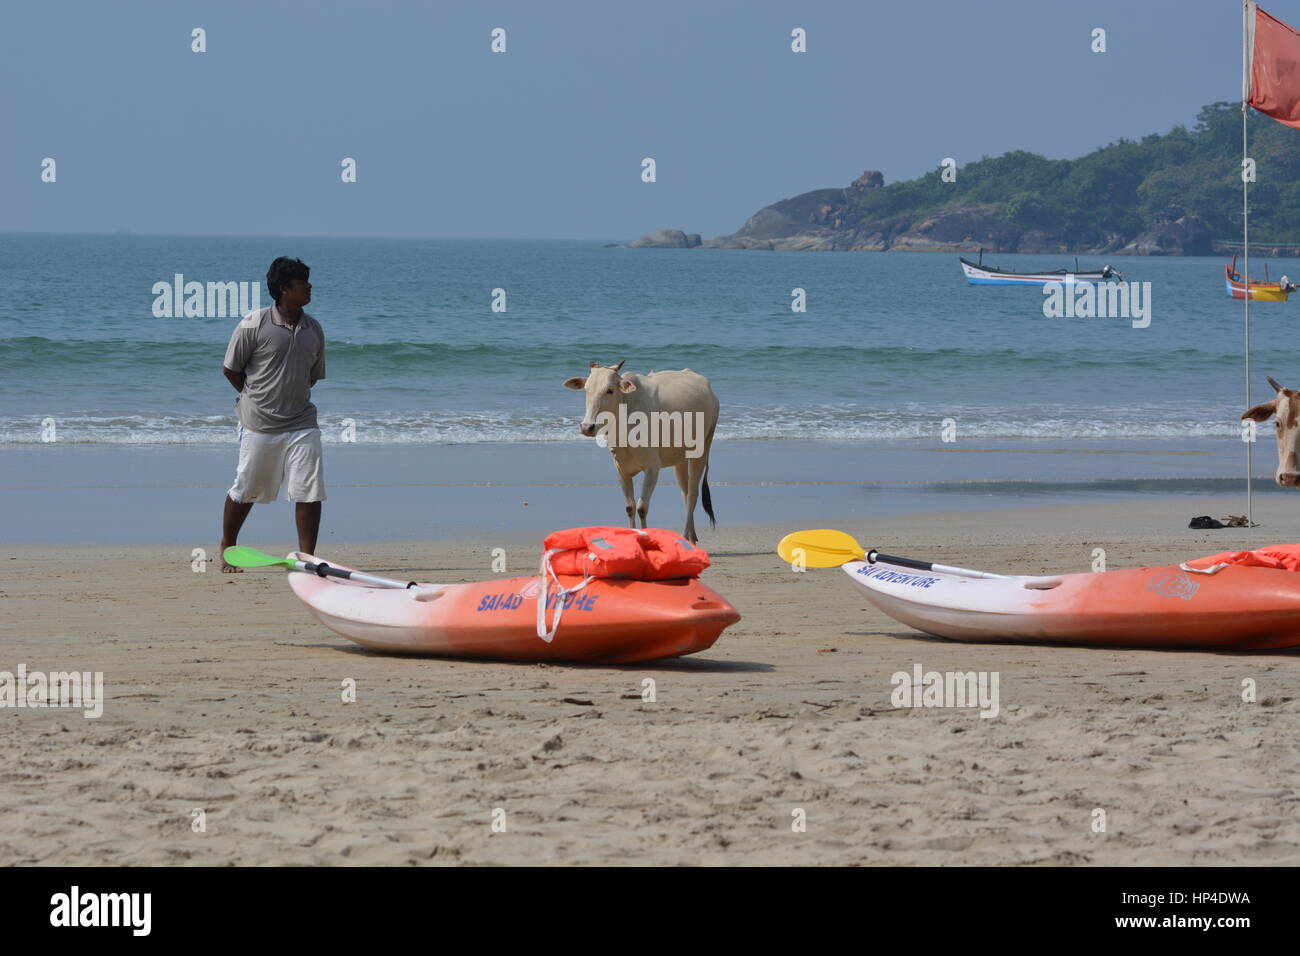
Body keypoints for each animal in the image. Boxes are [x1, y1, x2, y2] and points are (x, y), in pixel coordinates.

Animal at [564, 360, 719, 542]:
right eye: (587, 389)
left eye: (610, 390)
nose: (587, 427)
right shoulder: (621, 469)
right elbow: (630, 507)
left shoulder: (652, 467)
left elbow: (642, 507)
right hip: (680, 460)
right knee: (685, 494)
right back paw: (691, 538)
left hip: (702, 451)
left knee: (693, 496)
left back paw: (684, 536)